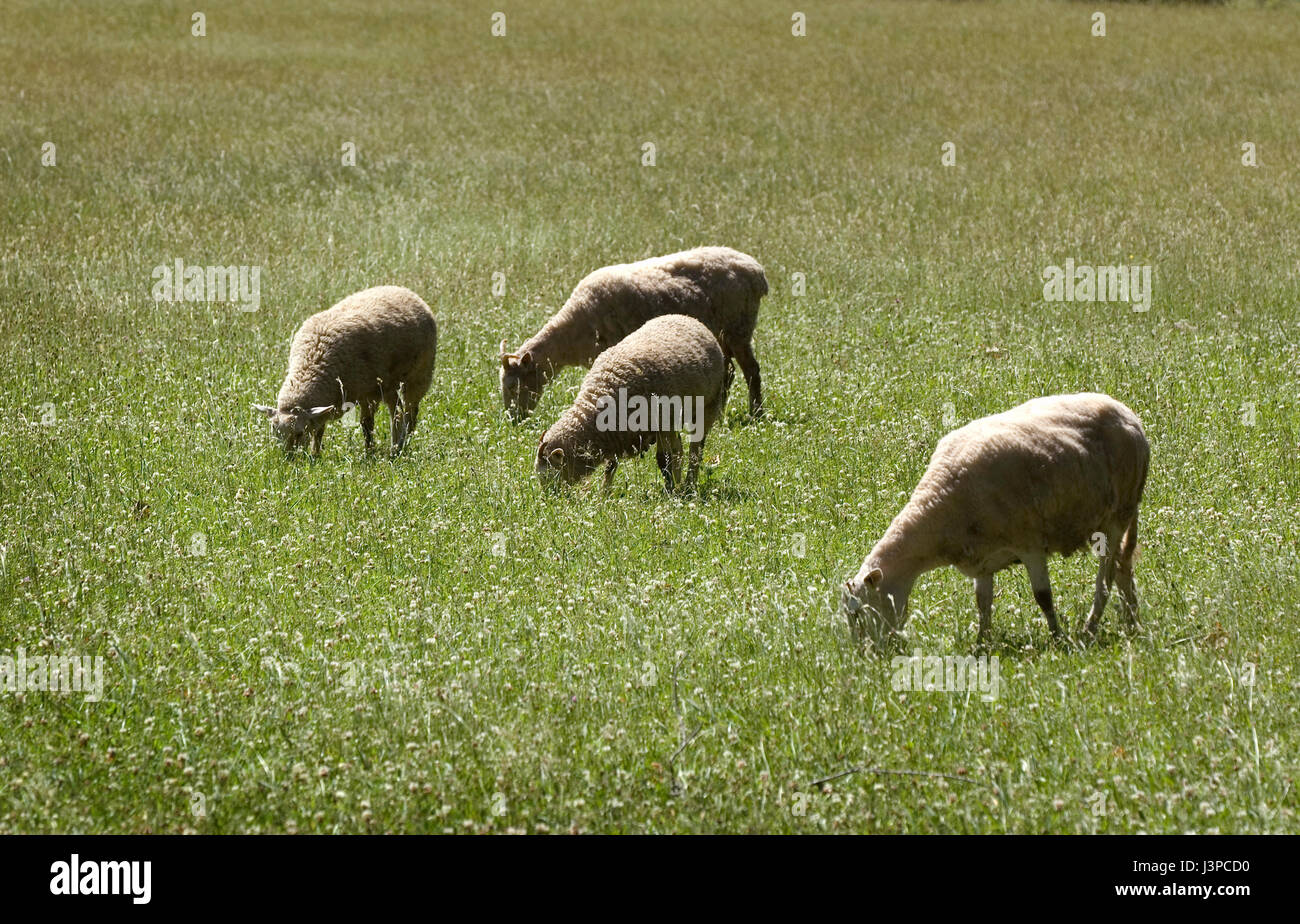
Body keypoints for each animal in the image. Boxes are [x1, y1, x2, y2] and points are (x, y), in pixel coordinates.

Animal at [253, 285, 437, 455]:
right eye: (275, 431)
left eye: (299, 433)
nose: (288, 459)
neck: (312, 363)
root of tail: (403, 289)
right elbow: (319, 430)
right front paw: (315, 455)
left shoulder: (368, 393)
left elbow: (366, 424)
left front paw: (369, 453)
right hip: (388, 384)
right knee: (397, 411)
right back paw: (396, 445)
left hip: (418, 376)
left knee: (409, 413)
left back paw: (401, 445)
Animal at [501, 246, 766, 422]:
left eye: (513, 387)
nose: (514, 421)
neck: (570, 336)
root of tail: (756, 270)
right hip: (723, 335)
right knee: (728, 372)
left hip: (738, 330)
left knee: (752, 371)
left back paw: (756, 414)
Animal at [535, 314, 732, 491]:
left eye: (548, 475)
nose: (550, 500)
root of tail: (688, 318)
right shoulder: (614, 432)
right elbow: (611, 465)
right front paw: (604, 494)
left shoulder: (660, 423)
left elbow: (664, 460)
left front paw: (670, 492)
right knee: (679, 450)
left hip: (707, 406)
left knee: (694, 450)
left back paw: (688, 484)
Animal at [841, 393, 1150, 649]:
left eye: (858, 613)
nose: (867, 655)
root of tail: (1129, 416)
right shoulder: (982, 561)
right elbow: (983, 604)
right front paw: (981, 644)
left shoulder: (1030, 544)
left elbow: (1043, 597)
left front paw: (1057, 638)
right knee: (1123, 566)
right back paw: (1132, 624)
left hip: (1117, 517)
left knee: (1106, 577)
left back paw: (1090, 628)